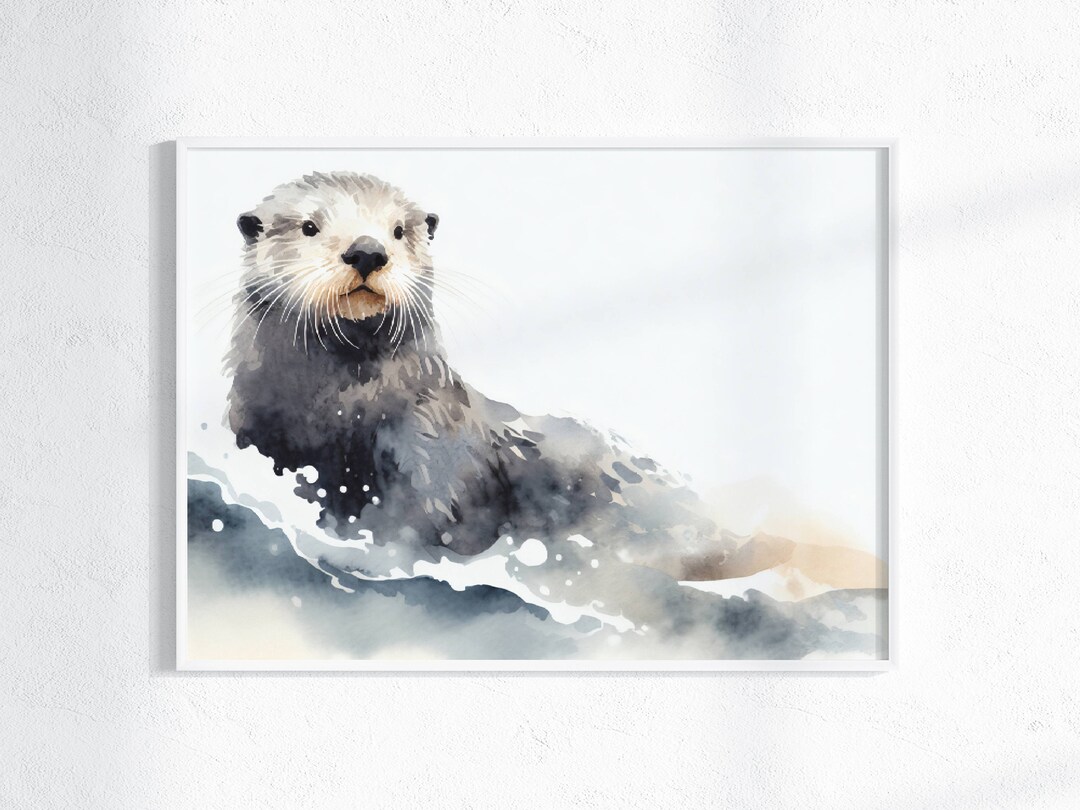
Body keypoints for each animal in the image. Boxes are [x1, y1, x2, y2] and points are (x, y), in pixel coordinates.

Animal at [226, 171, 768, 578]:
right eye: (308, 226)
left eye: (399, 231)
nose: (367, 251)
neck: (341, 416)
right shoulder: (259, 433)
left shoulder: (432, 441)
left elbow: (428, 523)